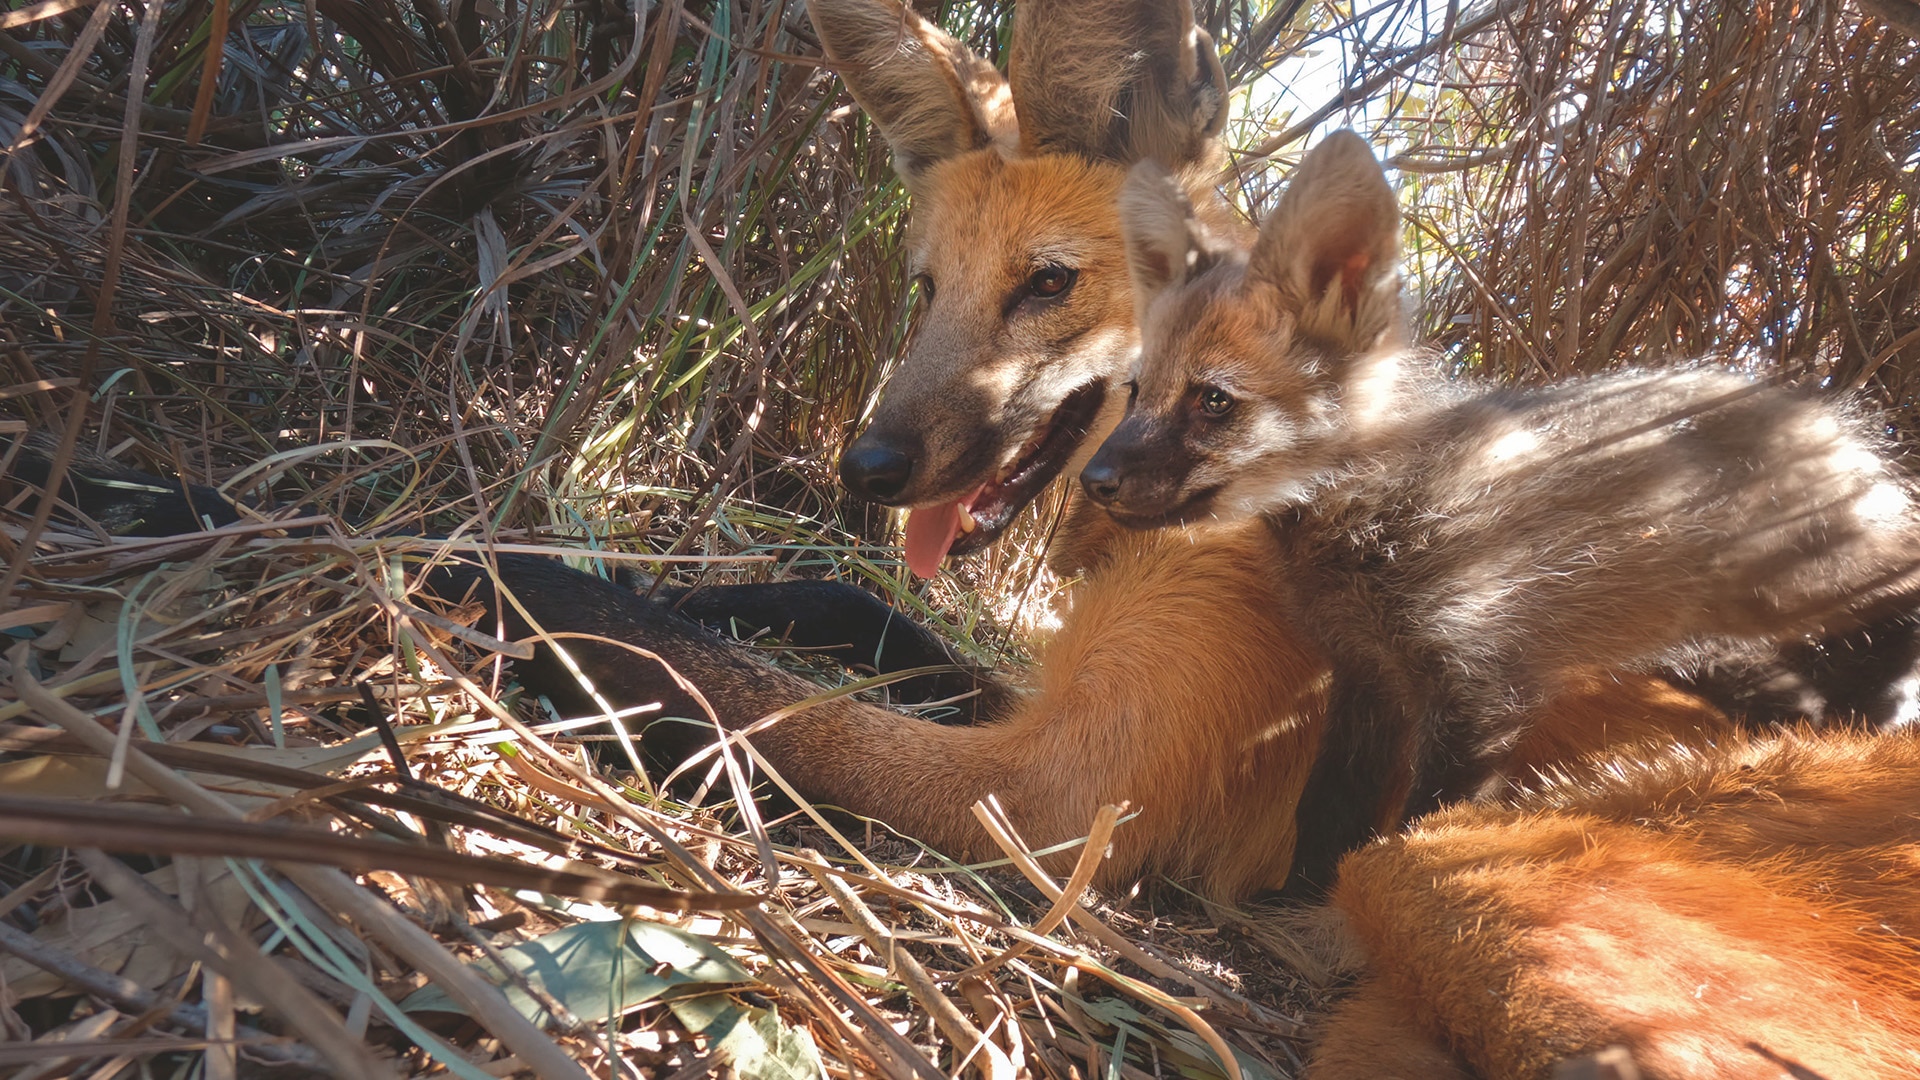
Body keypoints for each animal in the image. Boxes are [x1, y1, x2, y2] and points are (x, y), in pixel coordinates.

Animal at [1083, 130, 1920, 894]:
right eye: (1136, 392)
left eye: (1212, 401)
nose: (1093, 480)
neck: (1372, 527)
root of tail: (1830, 416)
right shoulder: (1367, 675)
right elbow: (1328, 808)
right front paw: (1297, 898)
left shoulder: (1480, 686)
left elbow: (1423, 819)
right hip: (1717, 650)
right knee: (1799, 696)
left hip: (1814, 583)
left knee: (1894, 602)